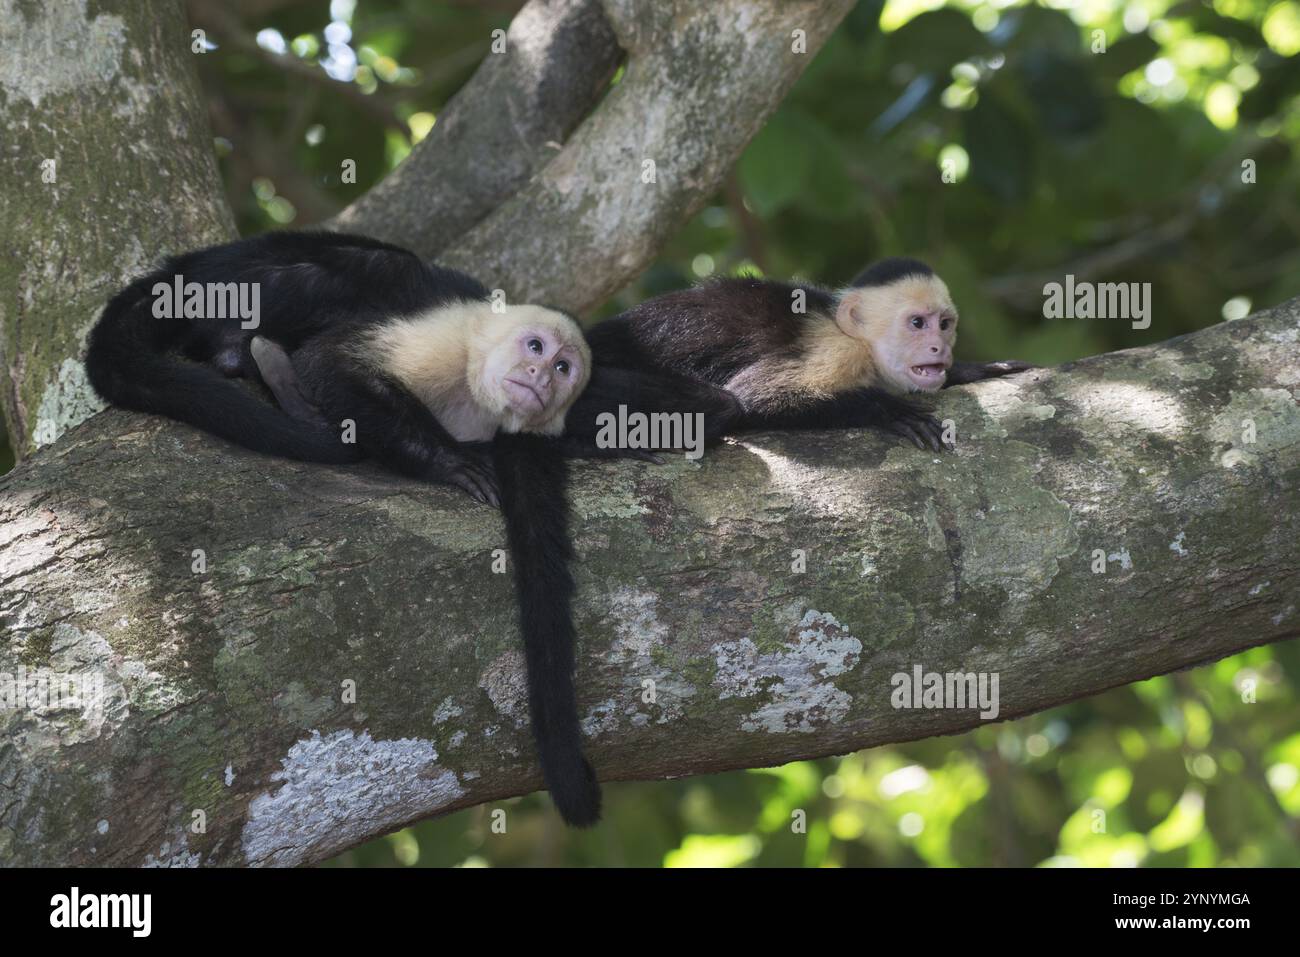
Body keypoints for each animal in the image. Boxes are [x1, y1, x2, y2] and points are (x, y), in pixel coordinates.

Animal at [85, 230, 604, 826]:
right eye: (537, 349)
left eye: (565, 368)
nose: (542, 377)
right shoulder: (447, 340)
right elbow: (331, 363)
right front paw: (448, 462)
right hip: (224, 284)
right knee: (364, 270)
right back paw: (262, 364)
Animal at [559, 257, 1032, 454]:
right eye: (917, 323)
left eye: (945, 324)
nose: (939, 347)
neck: (862, 345)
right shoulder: (835, 352)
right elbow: (755, 398)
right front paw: (887, 410)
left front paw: (973, 369)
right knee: (720, 406)